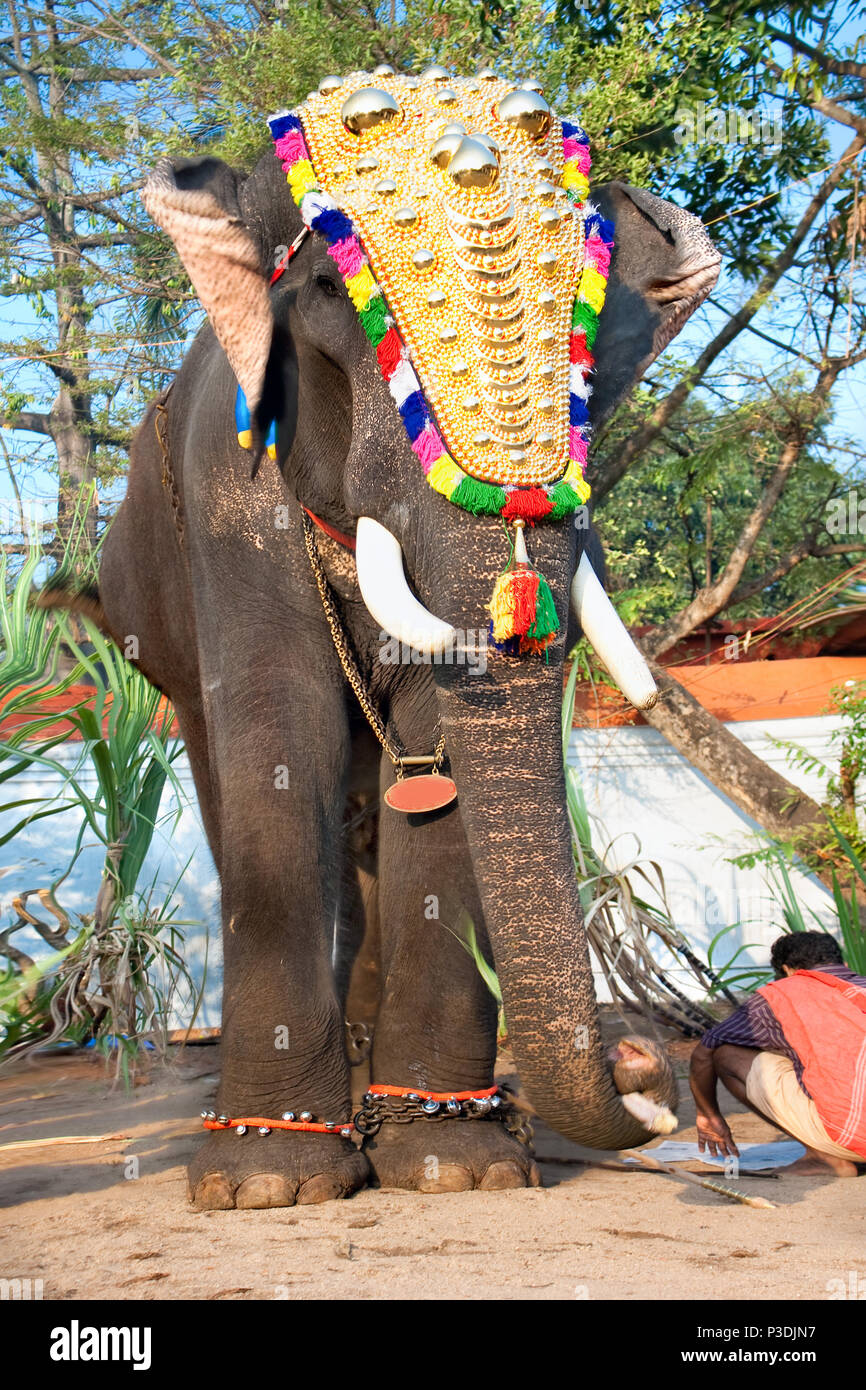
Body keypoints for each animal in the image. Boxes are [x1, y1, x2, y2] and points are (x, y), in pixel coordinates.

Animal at [93, 74, 721, 1209]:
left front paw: (456, 1168)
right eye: (331, 301)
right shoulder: (227, 494)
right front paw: (267, 1186)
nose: (644, 1063)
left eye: (589, 349)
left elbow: (435, 745)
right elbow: (278, 730)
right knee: (230, 773)